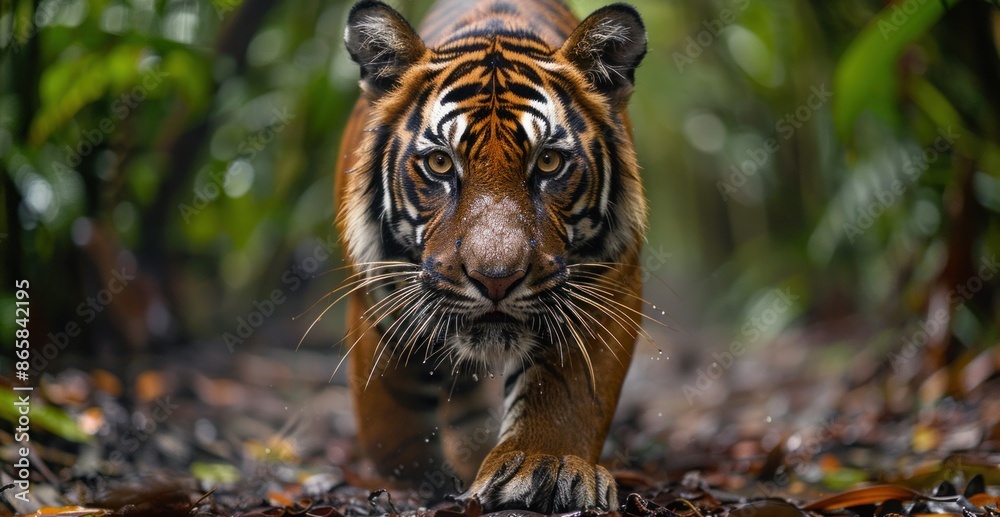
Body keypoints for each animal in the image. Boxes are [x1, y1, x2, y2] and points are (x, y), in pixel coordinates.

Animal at [333, 0, 648, 512]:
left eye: (548, 162)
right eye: (440, 163)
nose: (496, 279)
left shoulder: (605, 286)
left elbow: (568, 394)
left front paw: (546, 466)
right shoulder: (379, 300)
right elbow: (393, 428)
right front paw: (421, 482)